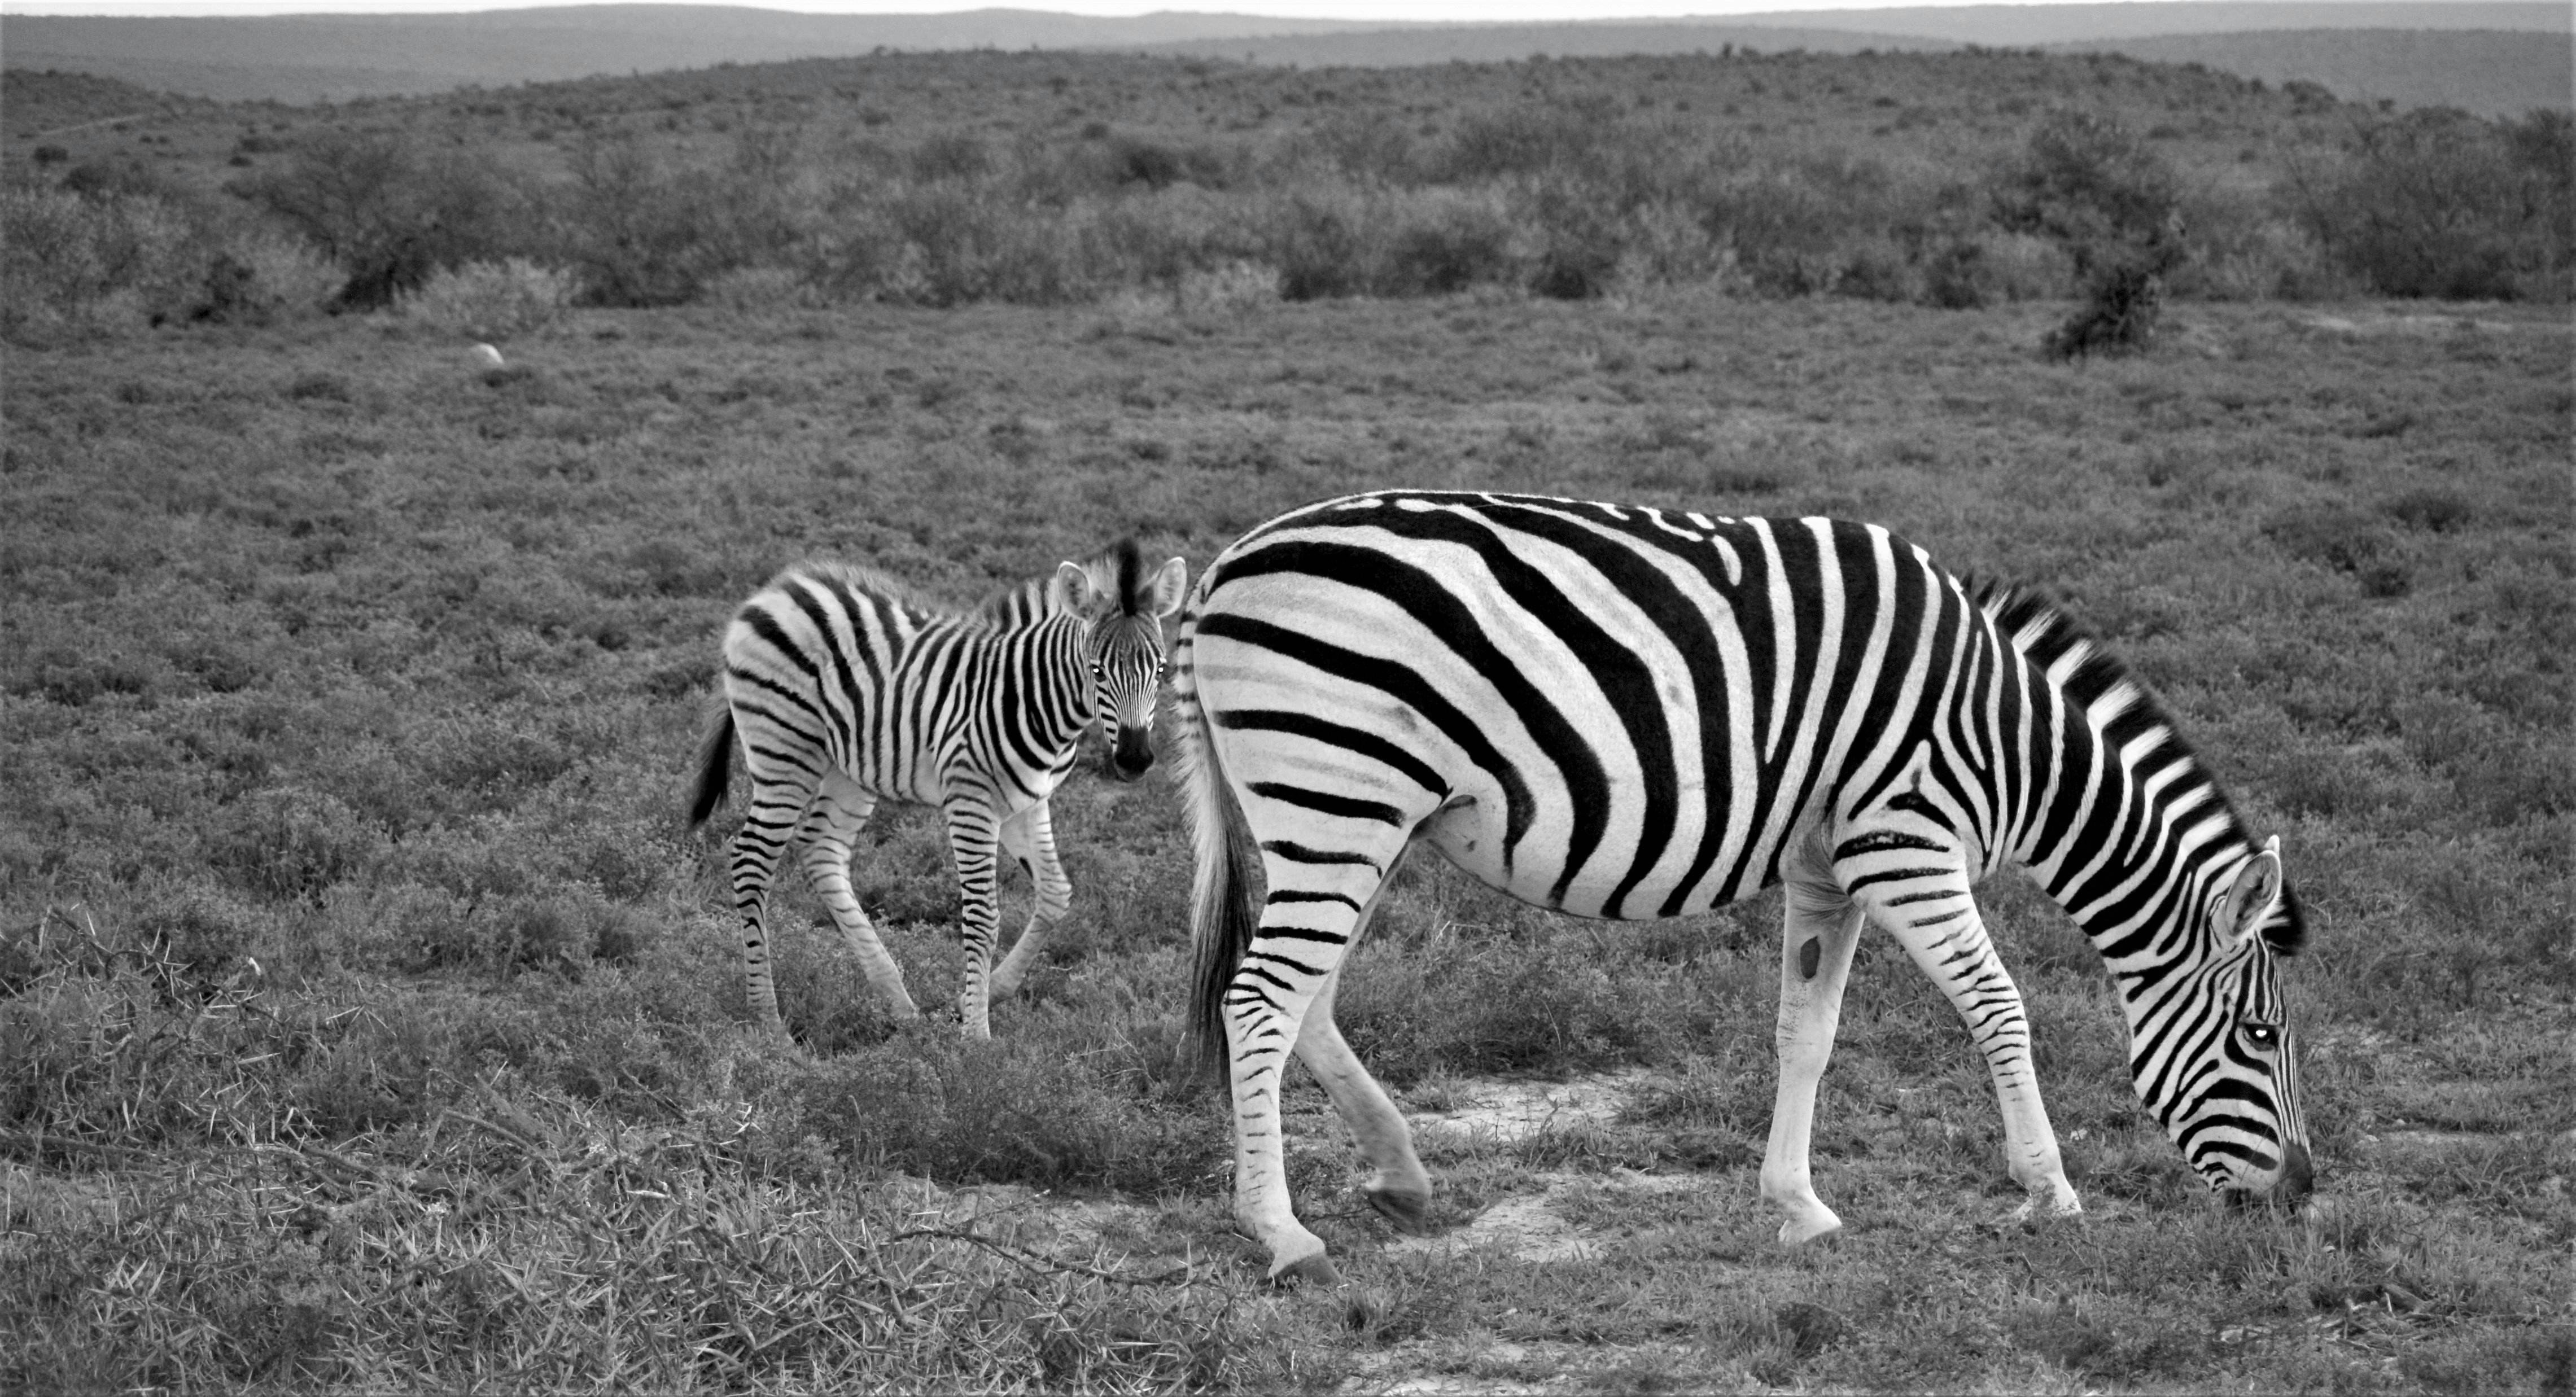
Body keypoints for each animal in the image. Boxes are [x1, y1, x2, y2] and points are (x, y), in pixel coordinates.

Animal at [690, 540, 1188, 1041]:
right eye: (1097, 670)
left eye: (1161, 669)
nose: (1135, 759)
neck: (1035, 699)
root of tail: (772, 592)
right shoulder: (971, 801)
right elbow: (983, 918)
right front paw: (976, 1034)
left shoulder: (1027, 802)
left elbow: (1055, 895)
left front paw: (985, 995)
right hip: (784, 750)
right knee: (751, 859)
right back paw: (767, 1019)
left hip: (848, 768)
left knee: (820, 849)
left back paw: (897, 1001)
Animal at [1171, 489, 2312, 1285]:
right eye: (2261, 1035)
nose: (2300, 1196)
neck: (2007, 740)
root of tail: (1223, 565)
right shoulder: (1903, 844)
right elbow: (1999, 1008)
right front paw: (2050, 1190)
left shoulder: (1828, 868)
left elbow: (1805, 1031)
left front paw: (1797, 1206)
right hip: (1338, 795)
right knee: (1259, 1000)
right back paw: (1281, 1234)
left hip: (1350, 817)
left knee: (1305, 998)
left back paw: (1399, 1176)